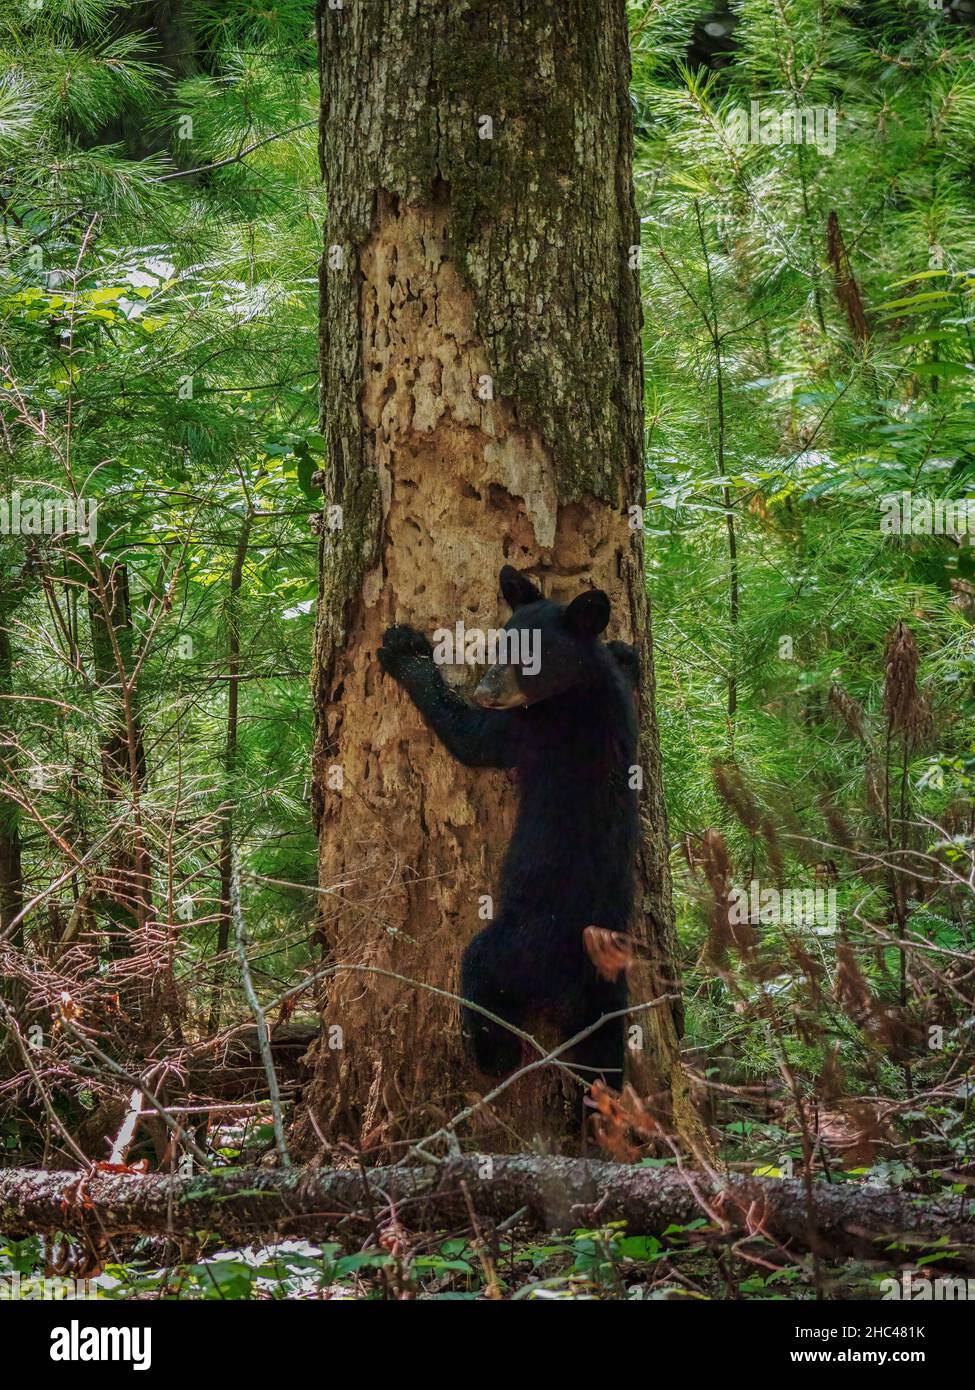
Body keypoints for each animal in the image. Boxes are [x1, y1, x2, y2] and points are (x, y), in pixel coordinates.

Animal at [377, 564, 639, 1096]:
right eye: (502, 645)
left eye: (530, 660)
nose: (484, 692)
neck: (583, 687)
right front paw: (627, 652)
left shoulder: (536, 728)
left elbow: (470, 737)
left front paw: (404, 649)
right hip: (610, 1005)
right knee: (604, 1060)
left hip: (516, 947)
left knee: (481, 976)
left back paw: (485, 1059)